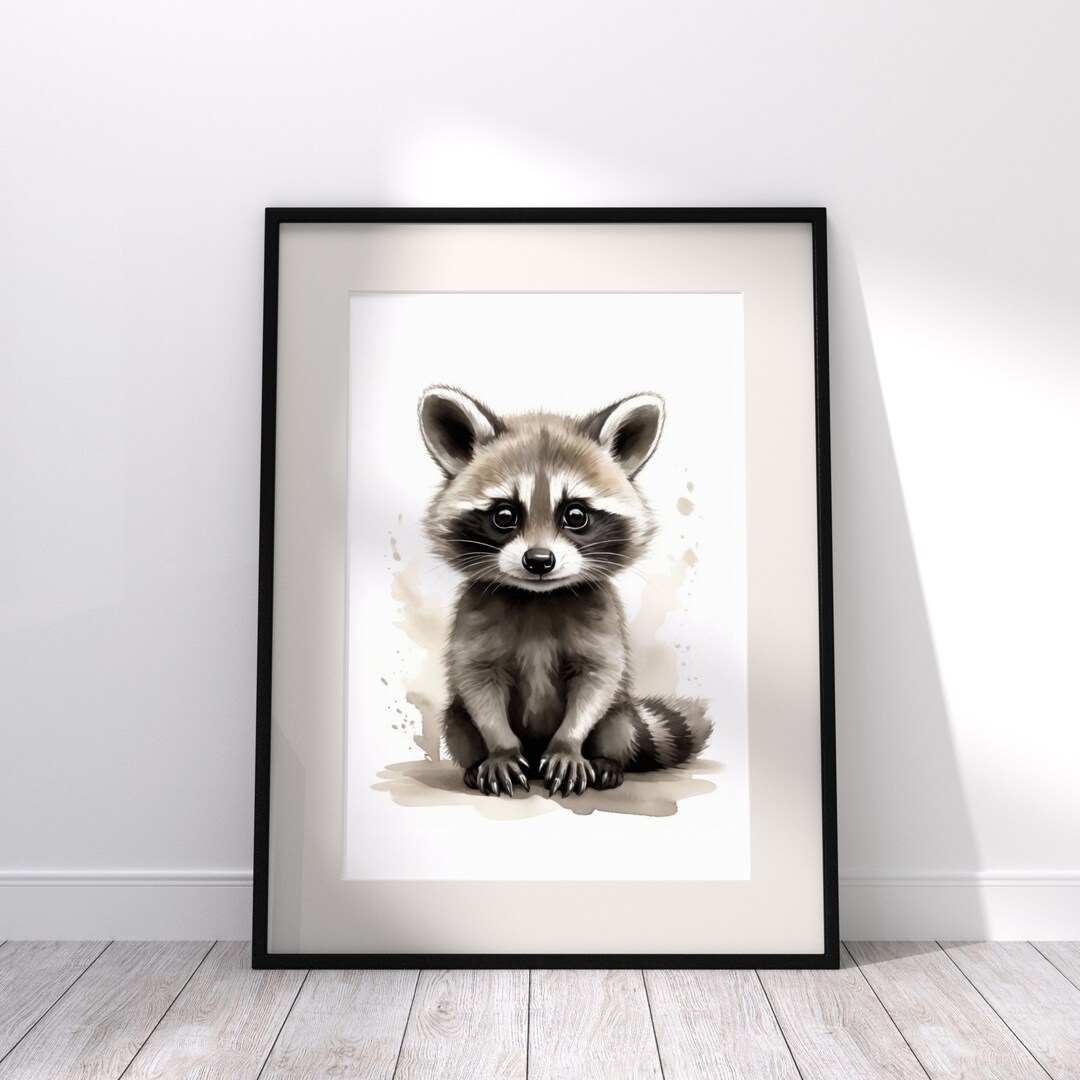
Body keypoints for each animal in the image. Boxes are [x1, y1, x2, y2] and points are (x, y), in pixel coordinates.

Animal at [419, 385, 711, 797]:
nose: (539, 561)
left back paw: (606, 761)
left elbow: (597, 682)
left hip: (624, 711)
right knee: (457, 719)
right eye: (504, 515)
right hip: (456, 716)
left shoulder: (601, 620)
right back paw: (475, 765)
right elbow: (478, 684)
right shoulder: (474, 620)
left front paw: (567, 746)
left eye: (575, 515)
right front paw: (501, 750)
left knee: (616, 722)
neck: (538, 598)